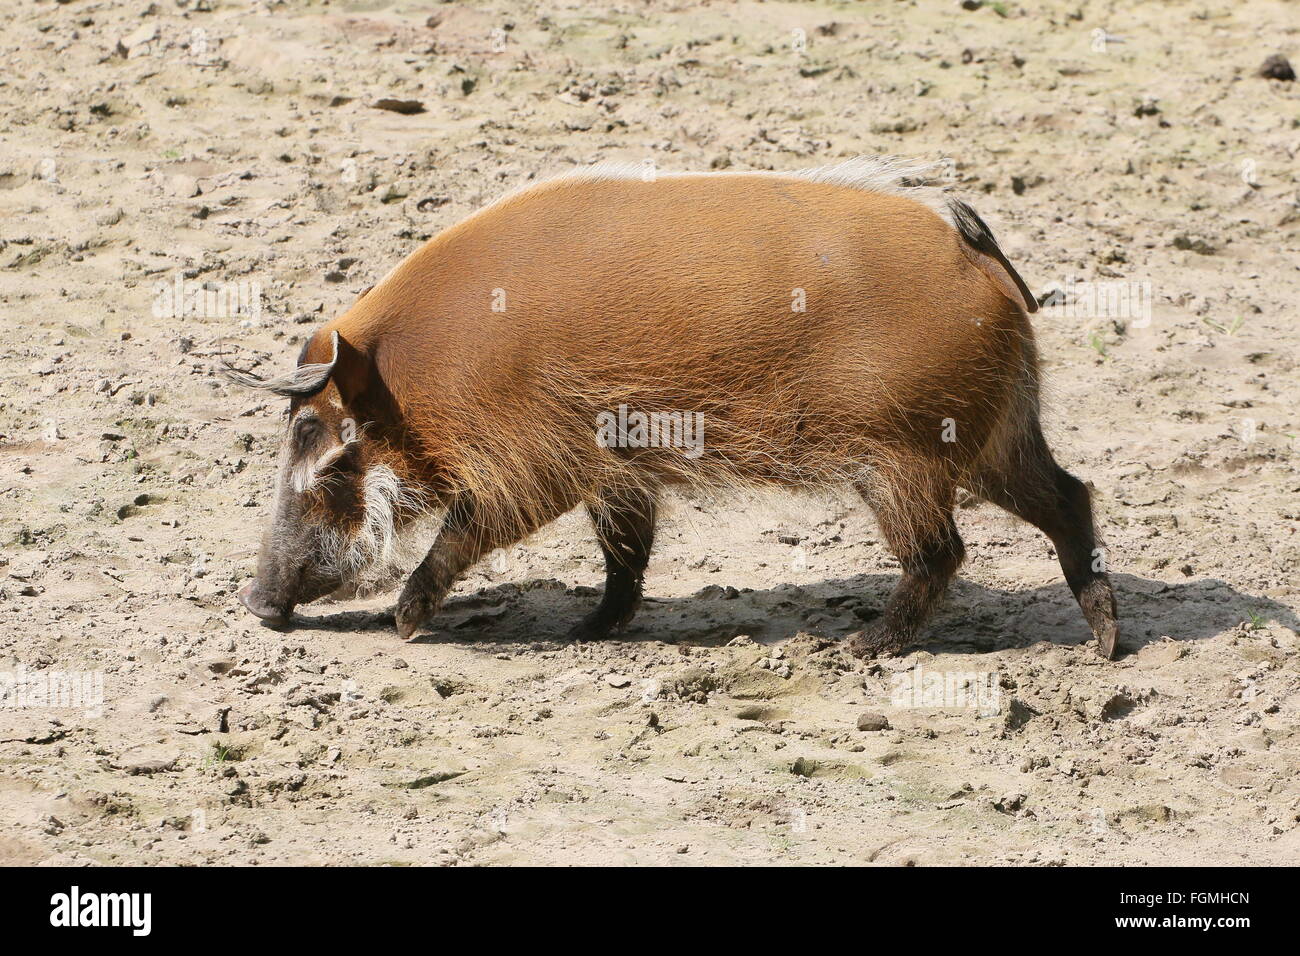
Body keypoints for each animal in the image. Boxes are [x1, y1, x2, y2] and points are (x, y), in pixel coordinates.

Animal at [226, 157, 1119, 659]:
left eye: (313, 432)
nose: (259, 606)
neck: (416, 371)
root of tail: (969, 243)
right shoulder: (613, 463)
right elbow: (626, 551)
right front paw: (591, 631)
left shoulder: (536, 457)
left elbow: (471, 528)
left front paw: (408, 623)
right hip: (992, 435)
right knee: (1070, 497)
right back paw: (1105, 641)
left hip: (905, 454)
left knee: (941, 553)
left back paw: (863, 645)